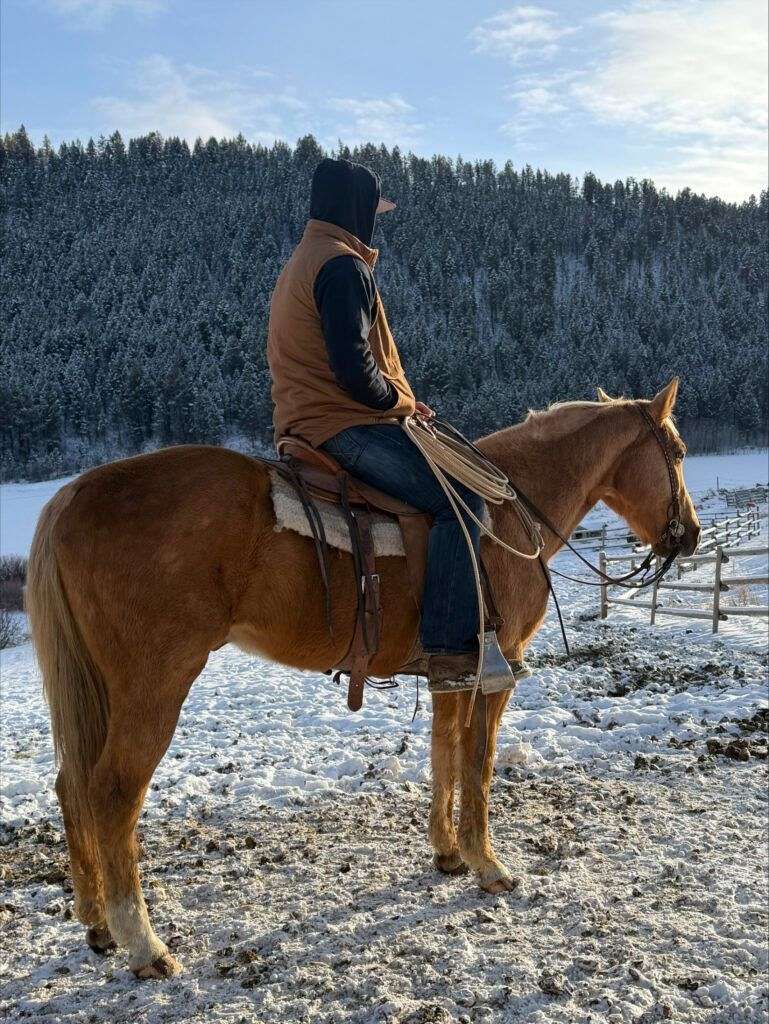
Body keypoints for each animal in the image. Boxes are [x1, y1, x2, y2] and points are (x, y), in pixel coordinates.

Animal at [25, 378, 700, 979]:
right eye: (677, 452)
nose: (688, 535)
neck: (508, 512)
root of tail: (71, 496)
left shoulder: (452, 673)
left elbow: (444, 754)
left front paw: (448, 852)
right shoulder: (496, 670)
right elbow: (478, 766)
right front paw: (487, 863)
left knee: (72, 786)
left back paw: (96, 922)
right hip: (154, 684)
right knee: (112, 792)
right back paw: (144, 945)